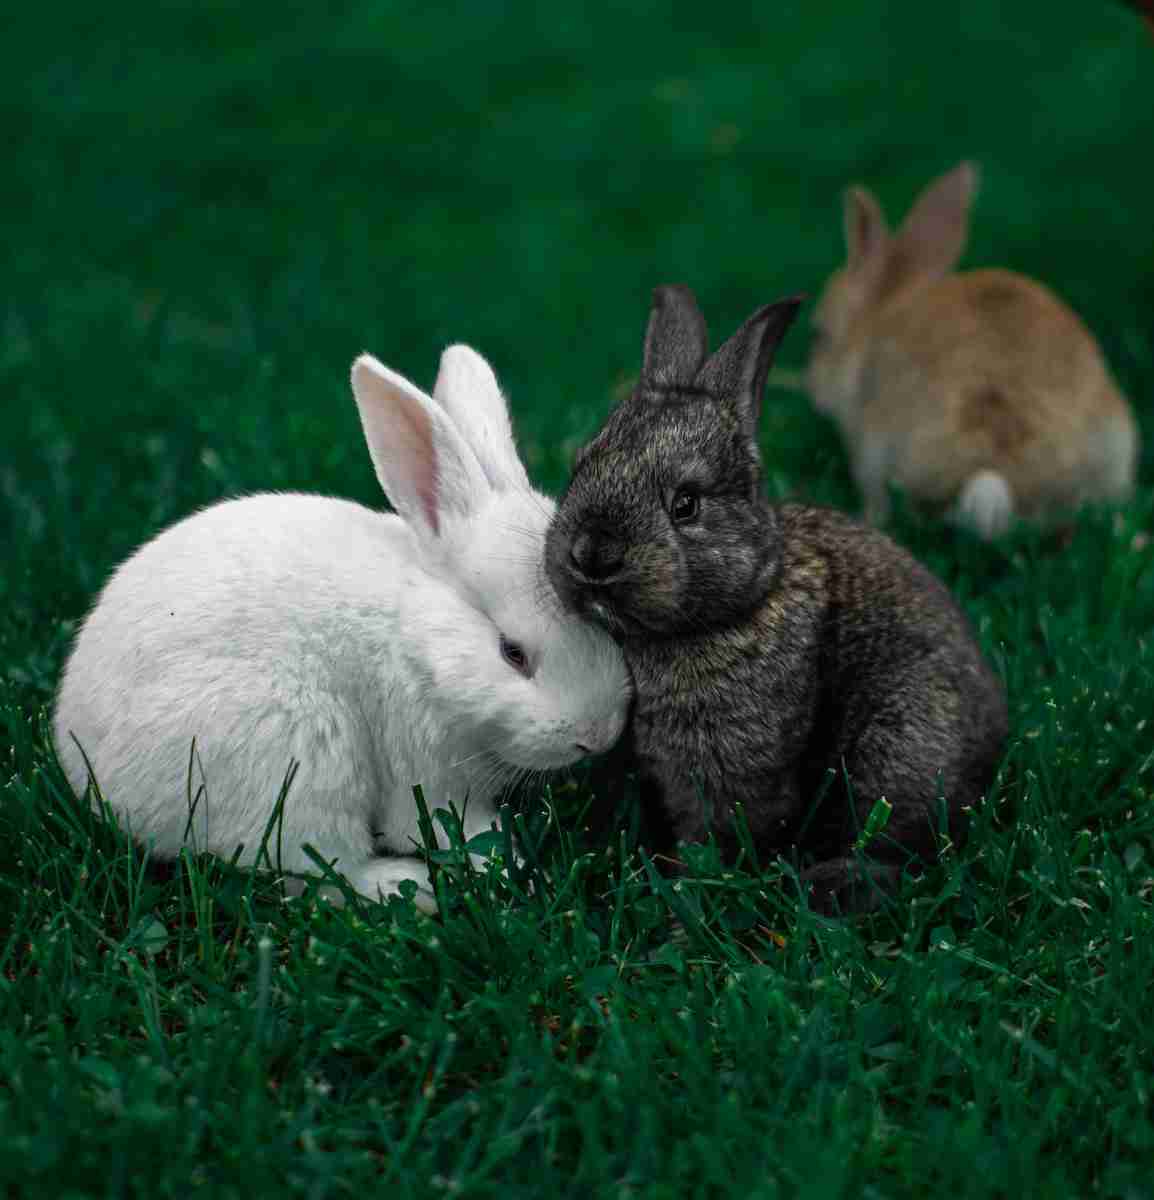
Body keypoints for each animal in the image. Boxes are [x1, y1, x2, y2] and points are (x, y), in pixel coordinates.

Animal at [53, 345, 632, 911]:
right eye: (512, 652)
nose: (597, 736)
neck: (418, 640)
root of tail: (88, 770)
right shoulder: (425, 769)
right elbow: (449, 827)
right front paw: (514, 870)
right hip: (299, 760)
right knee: (319, 872)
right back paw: (407, 887)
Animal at [544, 285, 1008, 913]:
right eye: (581, 466)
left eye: (686, 504)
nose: (592, 554)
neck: (742, 602)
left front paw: (690, 885)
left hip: (902, 745)